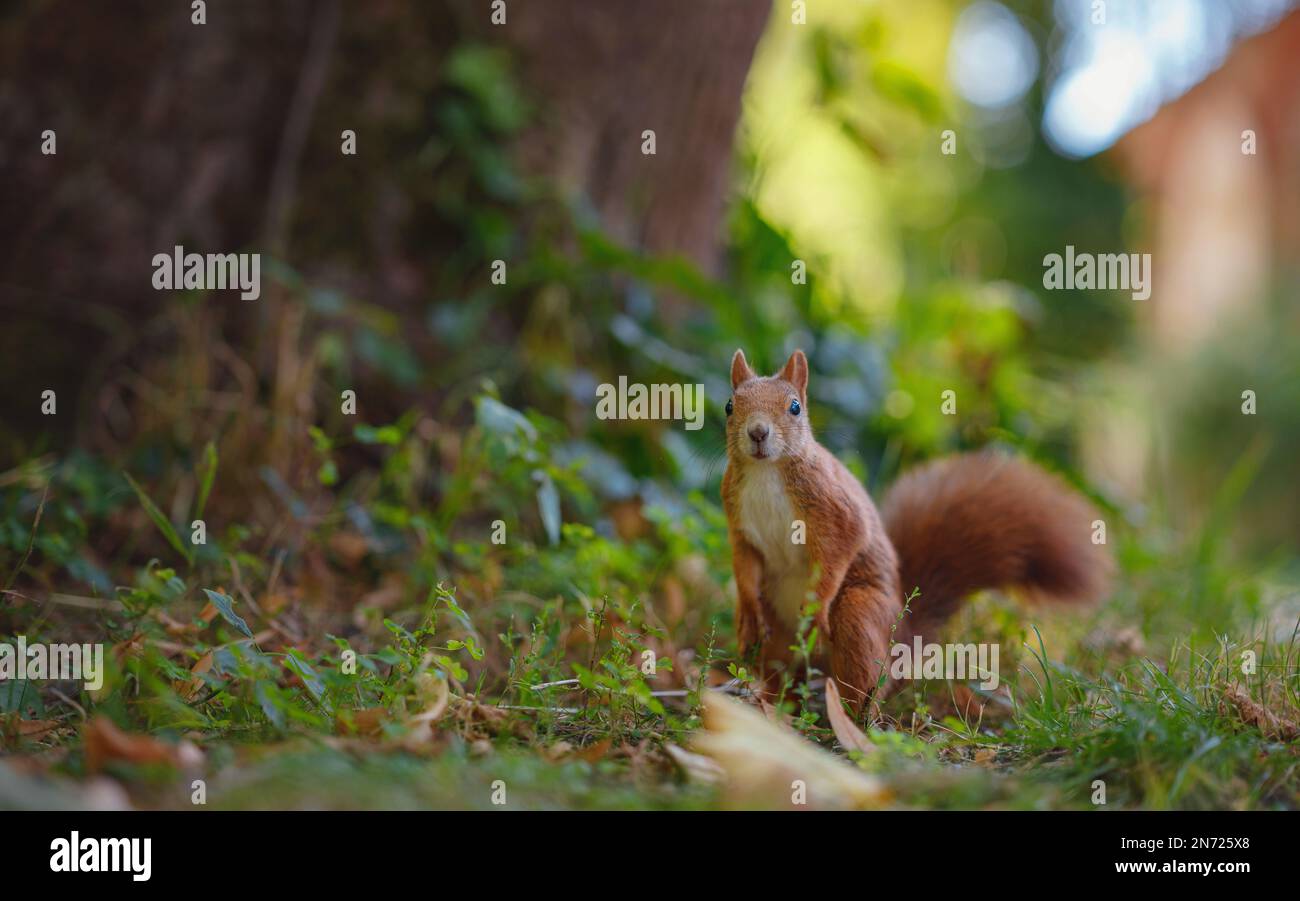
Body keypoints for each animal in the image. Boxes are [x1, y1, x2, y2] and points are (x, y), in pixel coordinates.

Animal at [720, 348, 1113, 712]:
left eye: (795, 407)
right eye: (729, 405)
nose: (757, 432)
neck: (766, 472)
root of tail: (906, 643)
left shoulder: (835, 511)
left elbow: (839, 551)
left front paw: (815, 610)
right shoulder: (740, 527)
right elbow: (743, 565)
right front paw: (747, 609)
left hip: (861, 614)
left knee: (864, 683)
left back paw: (849, 719)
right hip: (775, 634)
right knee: (781, 673)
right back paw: (771, 705)